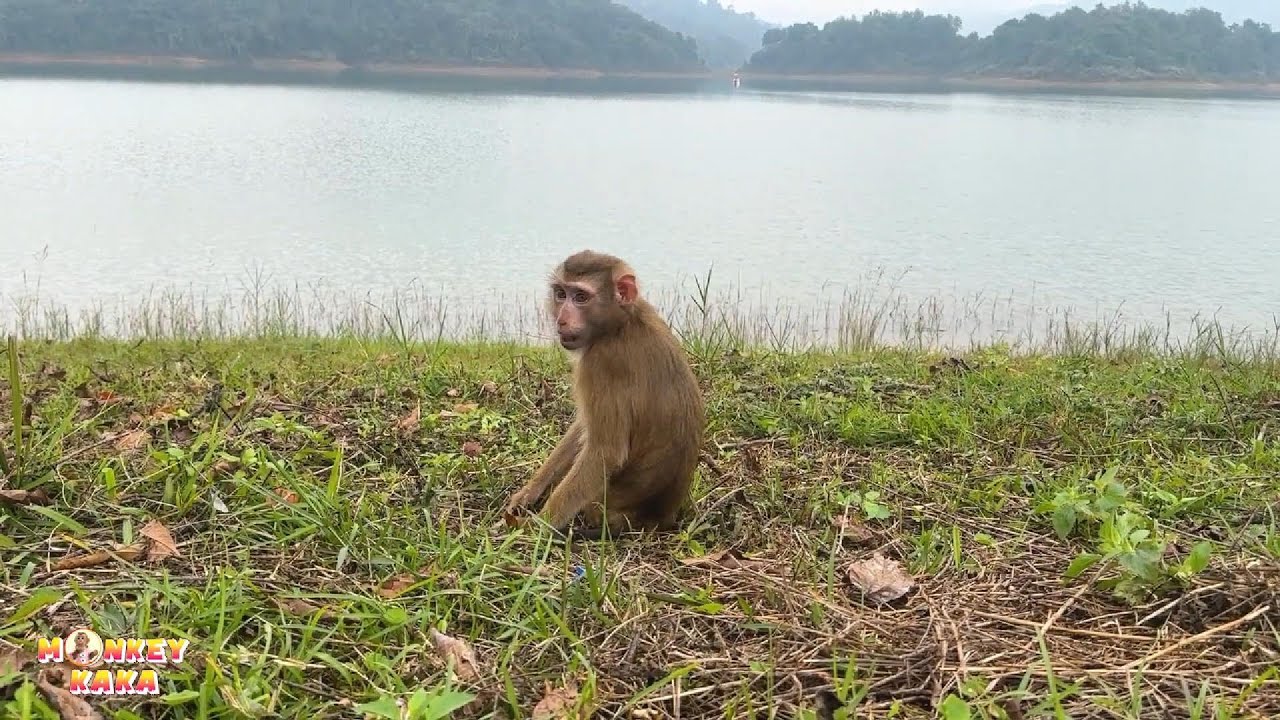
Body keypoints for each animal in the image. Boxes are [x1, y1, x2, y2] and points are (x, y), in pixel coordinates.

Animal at [504, 250, 705, 537]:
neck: (621, 322)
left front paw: (536, 528)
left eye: (581, 297)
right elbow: (583, 428)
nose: (562, 319)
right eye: (561, 294)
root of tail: (661, 517)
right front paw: (530, 492)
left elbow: (604, 452)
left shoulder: (601, 363)